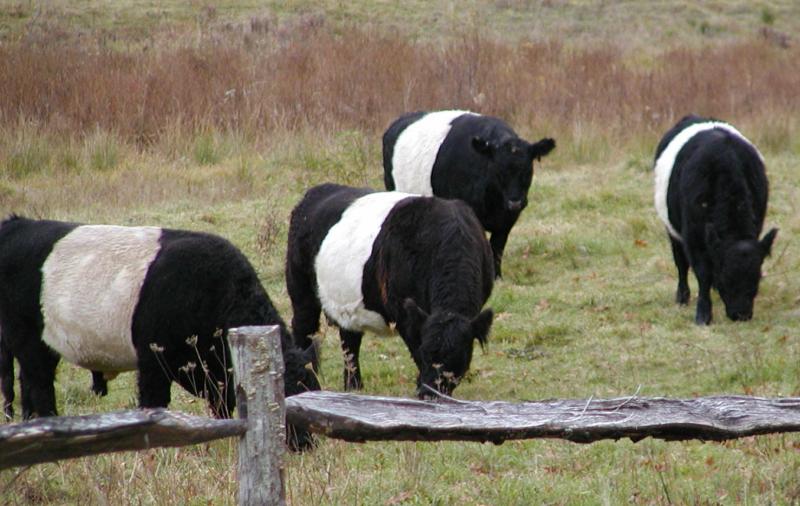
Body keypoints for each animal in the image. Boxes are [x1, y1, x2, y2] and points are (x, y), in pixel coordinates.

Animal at [0, 215, 319, 449]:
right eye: (284, 398)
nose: (306, 444)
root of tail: (17, 223)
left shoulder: (215, 375)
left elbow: (222, 408)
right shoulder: (153, 362)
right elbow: (154, 404)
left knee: (28, 385)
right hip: (29, 340)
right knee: (39, 386)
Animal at [286, 183, 495, 399]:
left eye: (458, 357)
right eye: (426, 353)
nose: (429, 393)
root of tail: (317, 191)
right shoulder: (404, 314)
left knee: (350, 341)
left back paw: (354, 386)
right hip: (300, 288)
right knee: (304, 328)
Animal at [383, 110, 556, 278]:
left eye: (528, 170)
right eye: (497, 169)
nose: (515, 202)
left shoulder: (507, 220)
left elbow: (497, 248)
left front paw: (497, 277)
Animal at [653, 115, 778, 325]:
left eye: (757, 277)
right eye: (725, 277)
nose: (741, 315)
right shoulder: (693, 237)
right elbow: (702, 274)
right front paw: (703, 315)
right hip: (672, 231)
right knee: (681, 263)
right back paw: (682, 297)